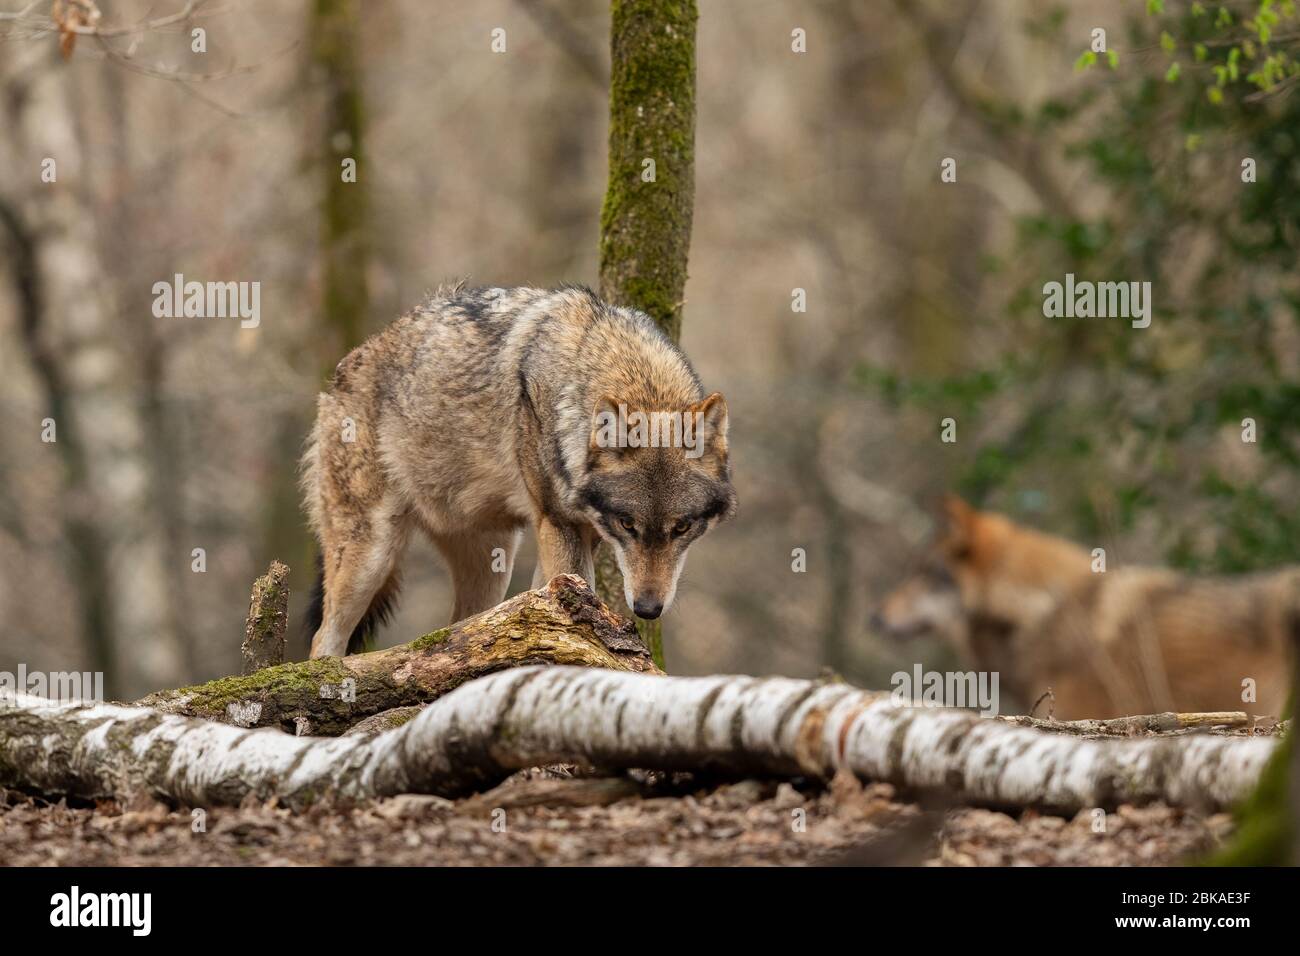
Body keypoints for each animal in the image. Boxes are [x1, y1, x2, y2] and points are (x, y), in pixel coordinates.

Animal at [301, 284, 737, 658]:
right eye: (628, 524)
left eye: (682, 527)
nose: (647, 609)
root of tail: (342, 368)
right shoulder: (558, 522)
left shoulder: (580, 534)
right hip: (370, 557)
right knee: (325, 638)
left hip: (494, 561)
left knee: (462, 634)